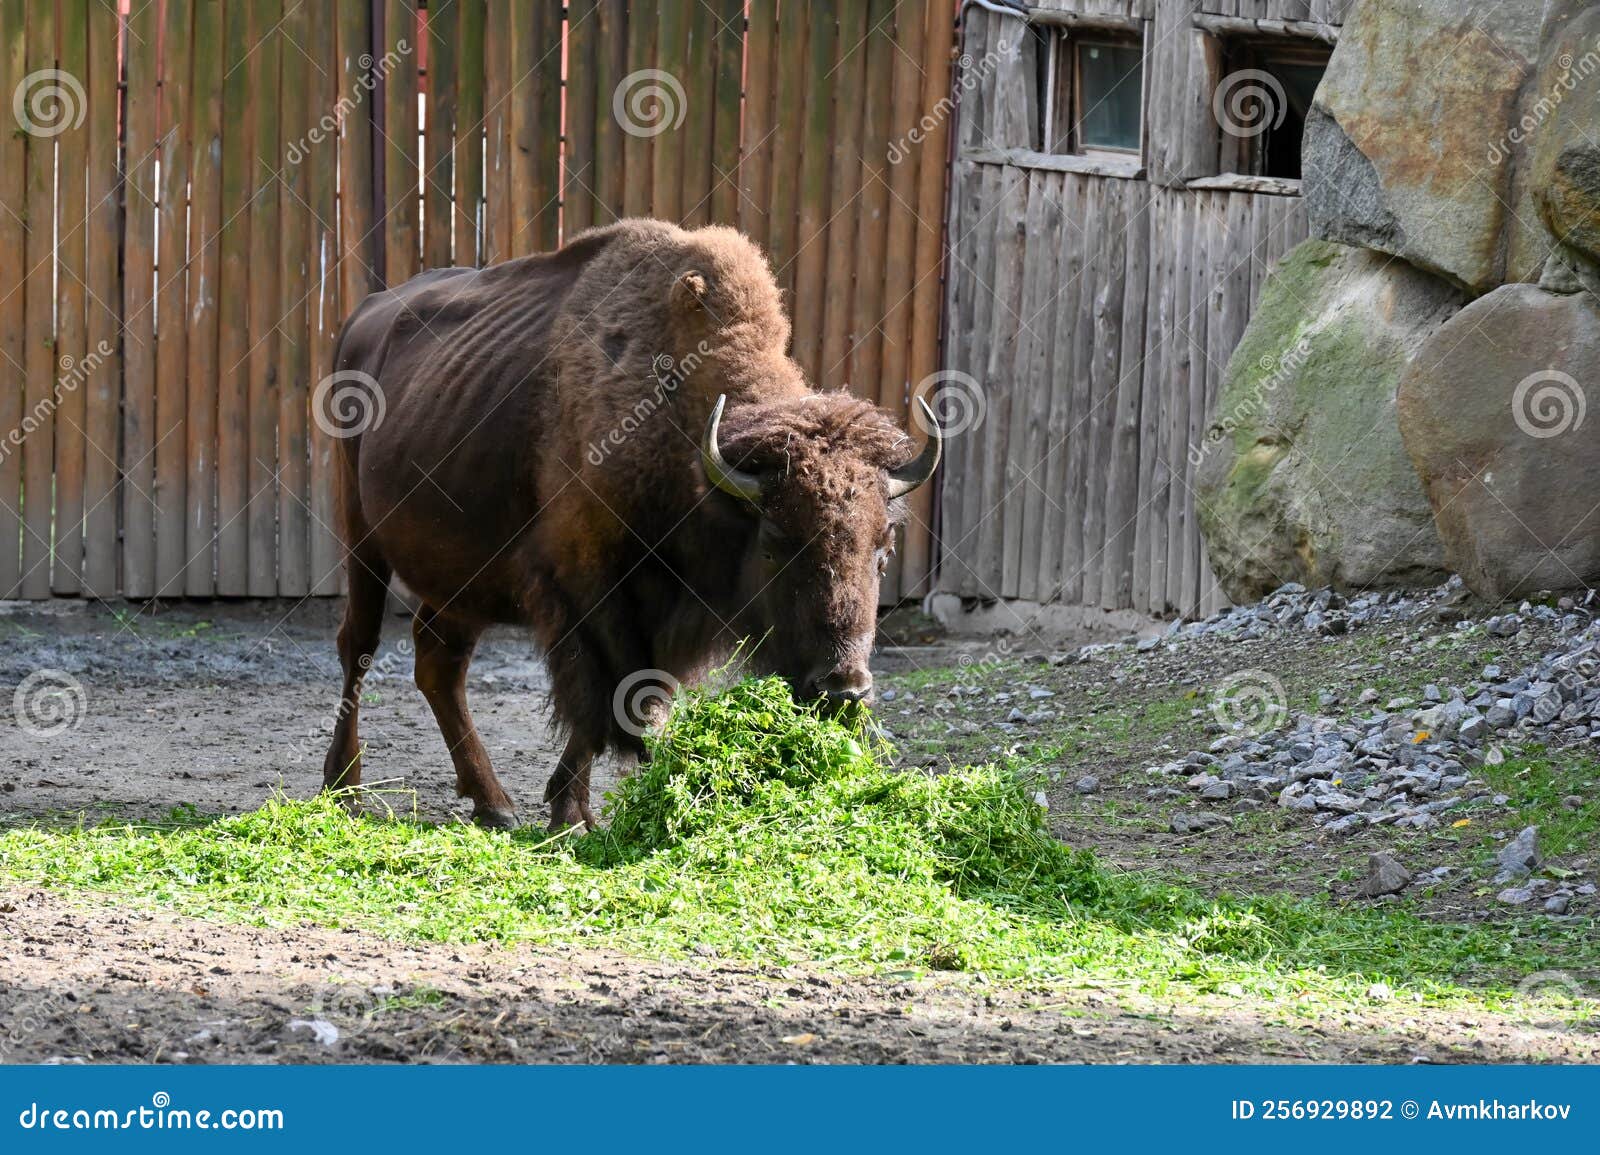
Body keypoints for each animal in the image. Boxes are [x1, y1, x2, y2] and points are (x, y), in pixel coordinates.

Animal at [322, 219, 939, 830]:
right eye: (774, 545)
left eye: (882, 550)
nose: (843, 690)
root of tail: (364, 316)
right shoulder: (585, 593)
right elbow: (606, 698)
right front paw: (574, 814)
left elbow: (631, 697)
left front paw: (574, 804)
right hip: (360, 537)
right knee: (360, 645)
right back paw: (344, 789)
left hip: (459, 577)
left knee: (439, 664)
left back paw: (493, 803)